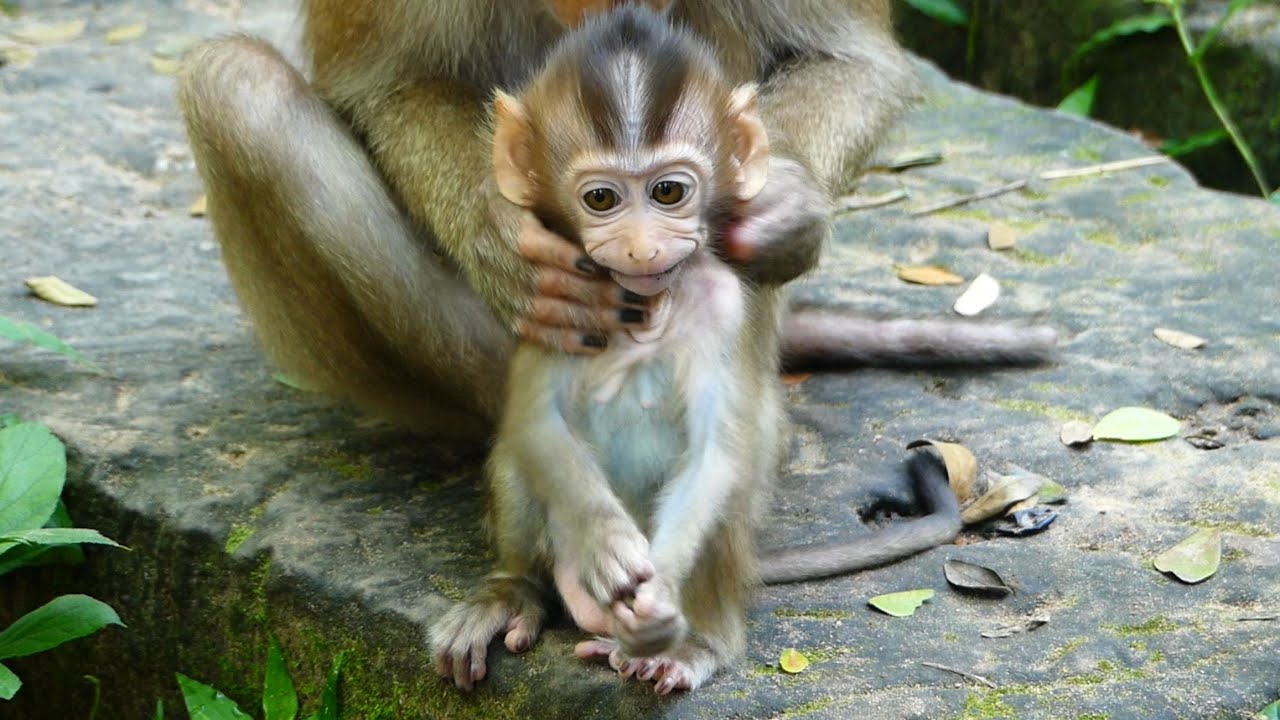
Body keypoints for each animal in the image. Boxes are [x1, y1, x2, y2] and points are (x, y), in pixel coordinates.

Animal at [428, 6, 964, 695]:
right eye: (601, 198)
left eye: (668, 192)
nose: (642, 246)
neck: (647, 306)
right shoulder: (550, 303)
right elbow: (535, 423)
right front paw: (606, 546)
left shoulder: (724, 306)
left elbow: (714, 452)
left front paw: (659, 601)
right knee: (522, 468)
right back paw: (512, 593)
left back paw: (692, 643)